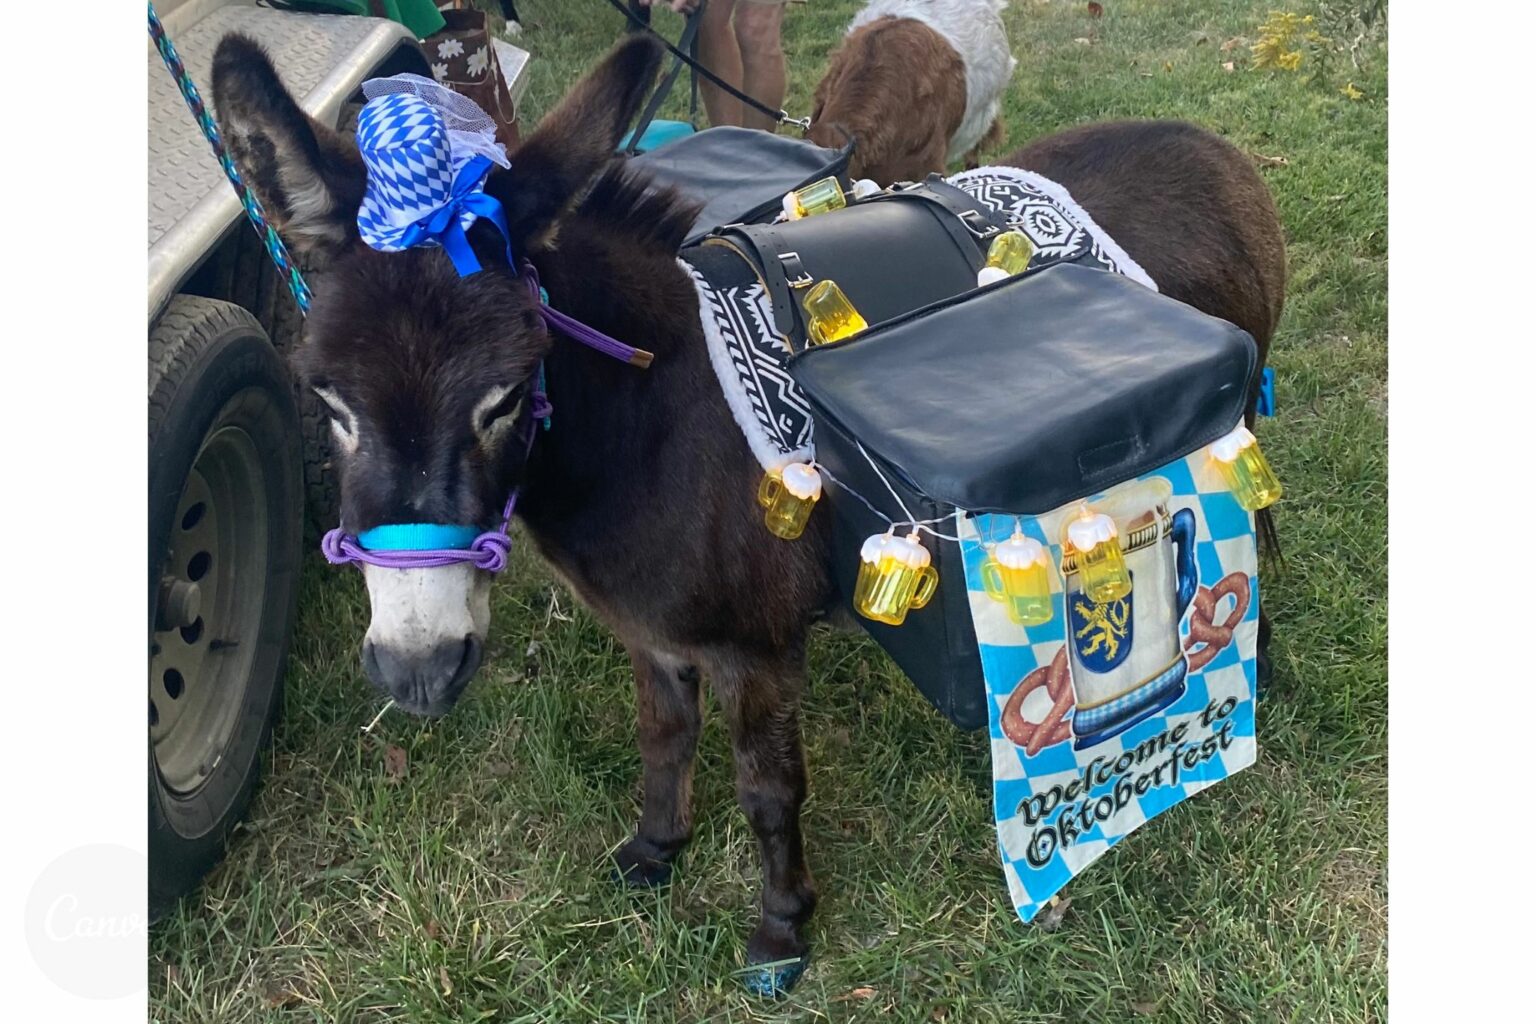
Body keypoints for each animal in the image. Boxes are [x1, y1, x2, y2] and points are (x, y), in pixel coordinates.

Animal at [211, 31, 1284, 995]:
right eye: (329, 400)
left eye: (508, 396)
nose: (418, 673)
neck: (652, 421)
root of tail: (1211, 144)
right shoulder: (652, 631)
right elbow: (661, 739)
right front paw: (654, 849)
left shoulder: (757, 649)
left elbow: (768, 791)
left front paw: (779, 931)